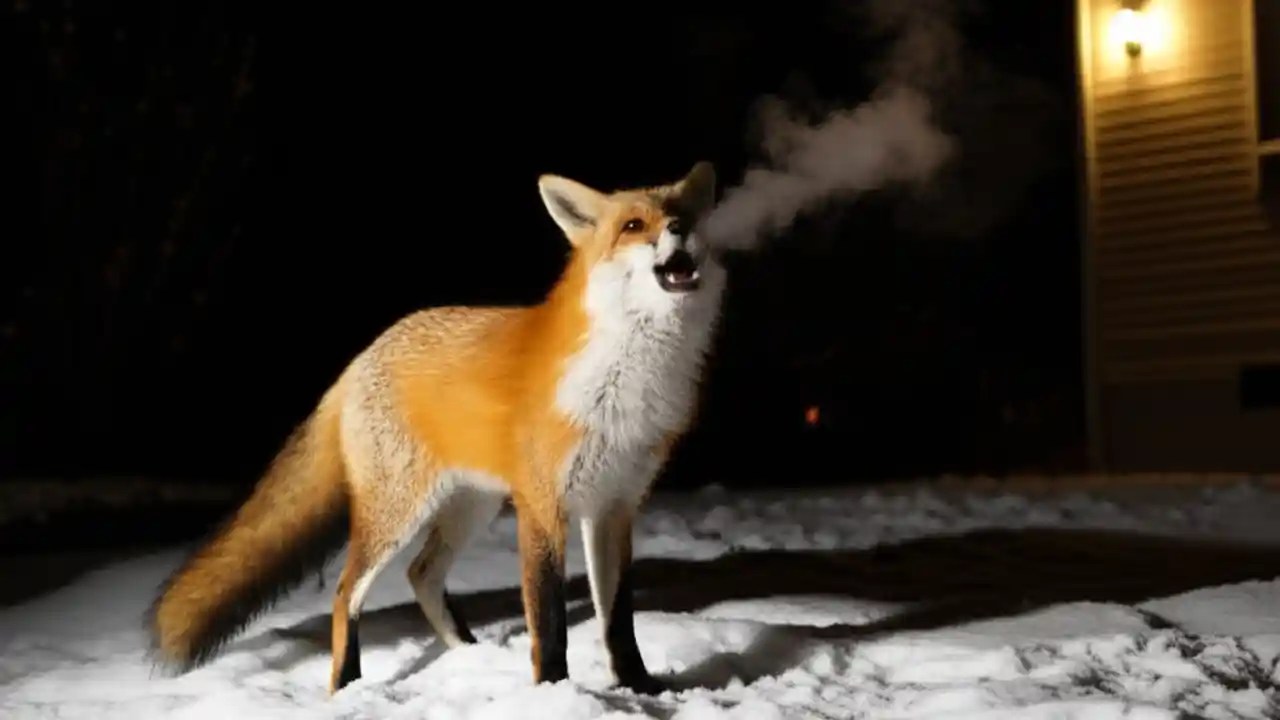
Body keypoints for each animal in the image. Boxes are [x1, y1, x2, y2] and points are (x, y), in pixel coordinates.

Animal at [146, 161, 728, 696]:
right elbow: (549, 622)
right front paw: (553, 691)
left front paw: (640, 689)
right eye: (634, 225)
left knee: (421, 575)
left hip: (471, 507)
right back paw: (346, 684)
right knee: (346, 592)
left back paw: (467, 655)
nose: (678, 228)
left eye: (685, 213)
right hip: (399, 513)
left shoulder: (615, 505)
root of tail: (362, 356)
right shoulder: (543, 506)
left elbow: (618, 621)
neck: (623, 378)